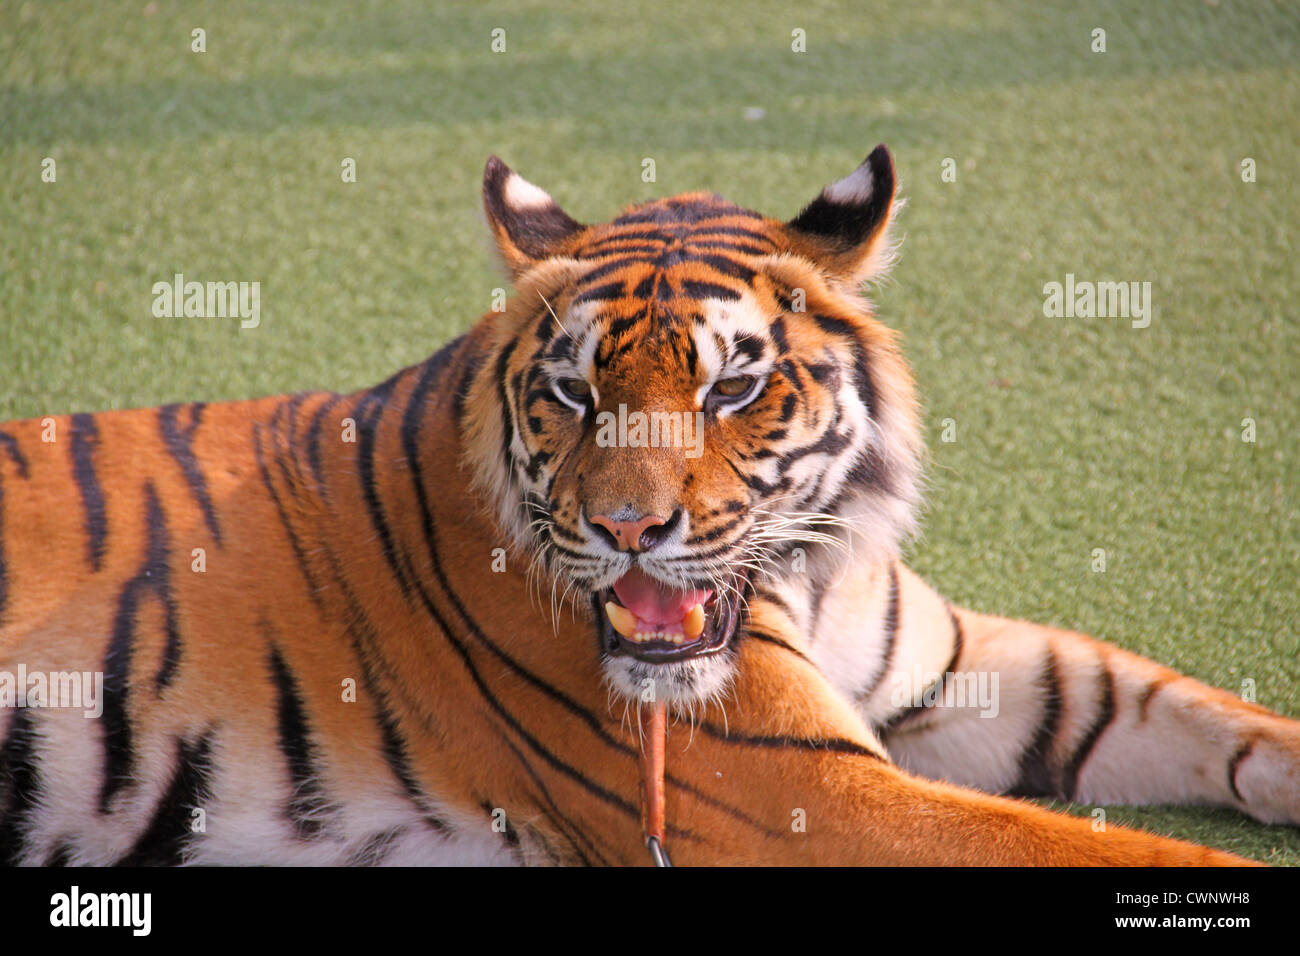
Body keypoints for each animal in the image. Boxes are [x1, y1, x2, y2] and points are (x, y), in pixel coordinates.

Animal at [1, 145, 1296, 867]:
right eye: (574, 390)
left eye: (731, 386)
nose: (627, 531)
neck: (809, 566)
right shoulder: (808, 797)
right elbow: (1103, 846)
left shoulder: (953, 663)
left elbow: (1177, 704)